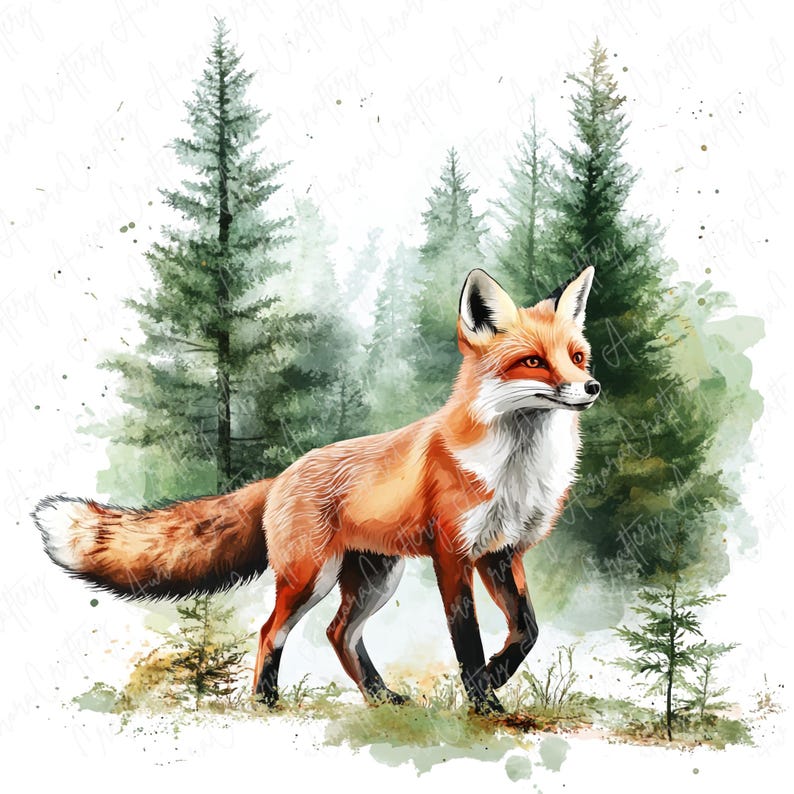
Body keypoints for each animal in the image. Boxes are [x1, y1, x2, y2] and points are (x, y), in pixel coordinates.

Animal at [33, 266, 599, 715]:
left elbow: (527, 630)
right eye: (533, 361)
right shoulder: (453, 554)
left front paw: (497, 678)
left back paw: (380, 697)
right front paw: (485, 702)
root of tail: (282, 475)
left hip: (375, 578)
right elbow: (468, 642)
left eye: (577, 357)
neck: (516, 472)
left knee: (339, 634)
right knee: (272, 631)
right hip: (312, 576)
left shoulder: (502, 552)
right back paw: (266, 701)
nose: (592, 387)